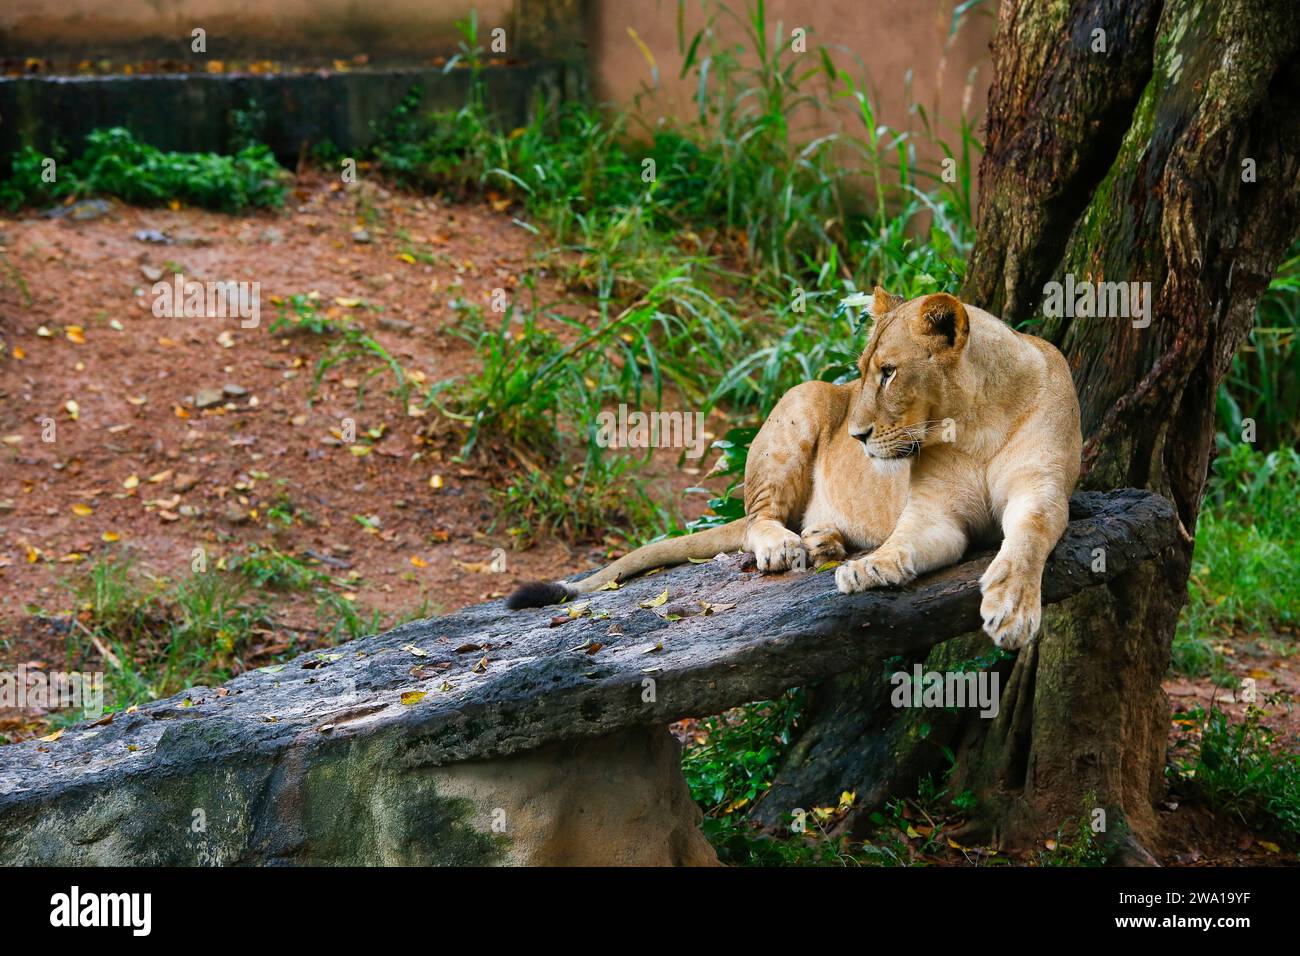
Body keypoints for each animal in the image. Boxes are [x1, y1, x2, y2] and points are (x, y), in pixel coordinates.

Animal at [507, 288, 1082, 649]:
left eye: (890, 373)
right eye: (863, 373)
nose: (856, 435)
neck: (974, 421)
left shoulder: (1042, 491)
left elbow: (1028, 537)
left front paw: (1011, 607)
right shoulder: (933, 513)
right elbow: (903, 541)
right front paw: (871, 567)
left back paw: (824, 541)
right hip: (801, 401)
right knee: (756, 520)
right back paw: (789, 546)